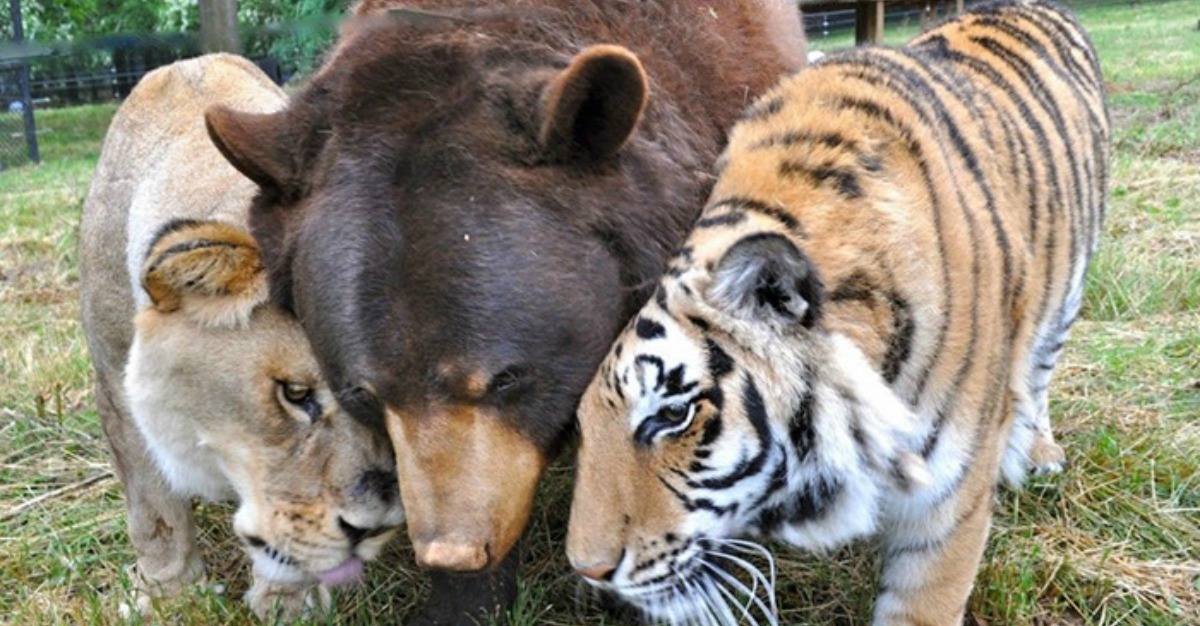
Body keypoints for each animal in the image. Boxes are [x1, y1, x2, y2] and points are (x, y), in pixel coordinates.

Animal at [78, 54, 404, 619]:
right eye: (295, 394)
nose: (375, 528)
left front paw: (289, 604)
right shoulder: (114, 384)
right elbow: (153, 510)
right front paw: (169, 596)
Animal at [566, 1, 1110, 624]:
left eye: (671, 415)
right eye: (583, 426)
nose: (587, 570)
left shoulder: (950, 498)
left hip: (1065, 296)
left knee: (1039, 372)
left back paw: (1039, 452)